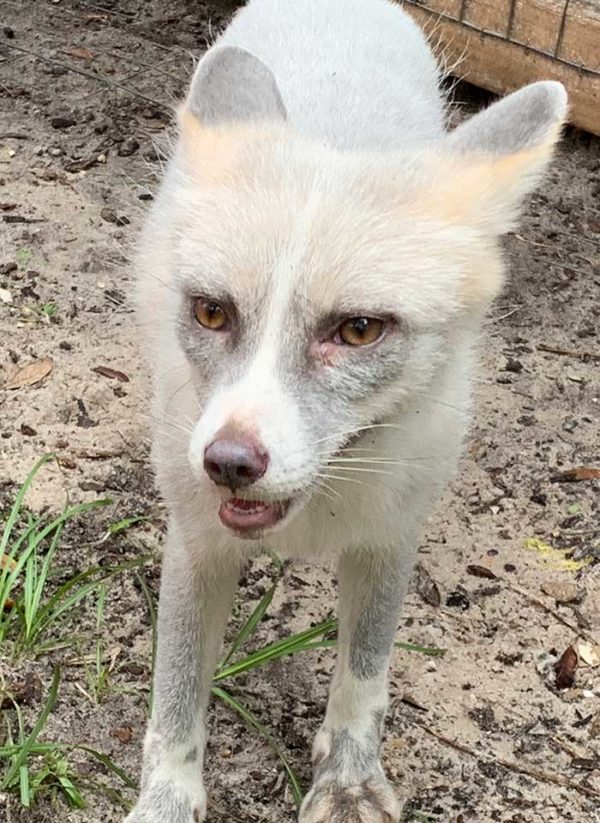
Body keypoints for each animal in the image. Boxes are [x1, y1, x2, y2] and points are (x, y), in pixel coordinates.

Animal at [126, 0, 568, 820]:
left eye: (359, 329)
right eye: (211, 312)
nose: (228, 463)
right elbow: (175, 698)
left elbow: (365, 676)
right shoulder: (196, 539)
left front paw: (350, 780)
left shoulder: (391, 537)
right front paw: (167, 799)